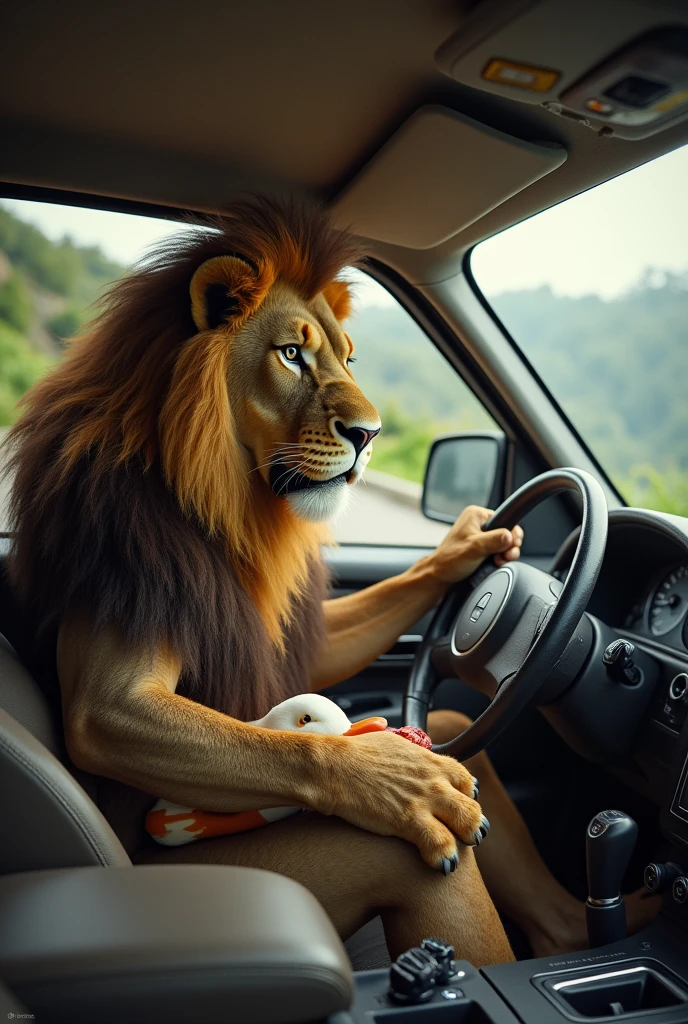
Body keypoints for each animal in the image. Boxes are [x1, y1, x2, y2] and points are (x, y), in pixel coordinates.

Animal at [5, 197, 515, 967]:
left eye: (346, 358)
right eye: (291, 354)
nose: (371, 434)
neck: (230, 496)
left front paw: (469, 545)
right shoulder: (116, 580)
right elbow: (141, 709)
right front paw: (396, 776)